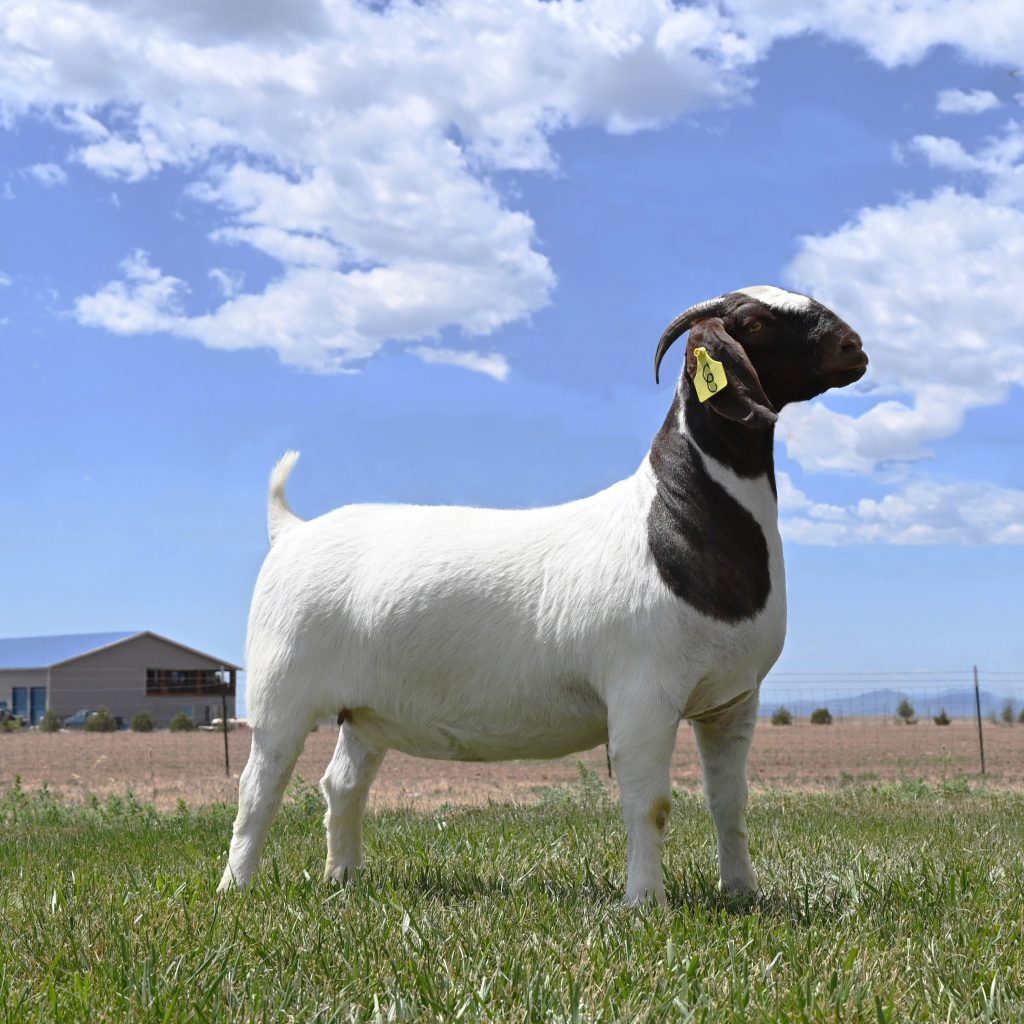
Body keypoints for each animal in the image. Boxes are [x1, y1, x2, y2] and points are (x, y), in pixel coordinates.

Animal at [218, 285, 867, 904]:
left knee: (343, 785)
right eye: (754, 322)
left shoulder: (732, 700)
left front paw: (742, 892)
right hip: (282, 689)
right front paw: (644, 903)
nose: (854, 347)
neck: (678, 515)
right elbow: (650, 805)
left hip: (366, 711)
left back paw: (344, 878)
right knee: (259, 788)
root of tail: (292, 529)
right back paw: (236, 886)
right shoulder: (643, 695)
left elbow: (730, 802)